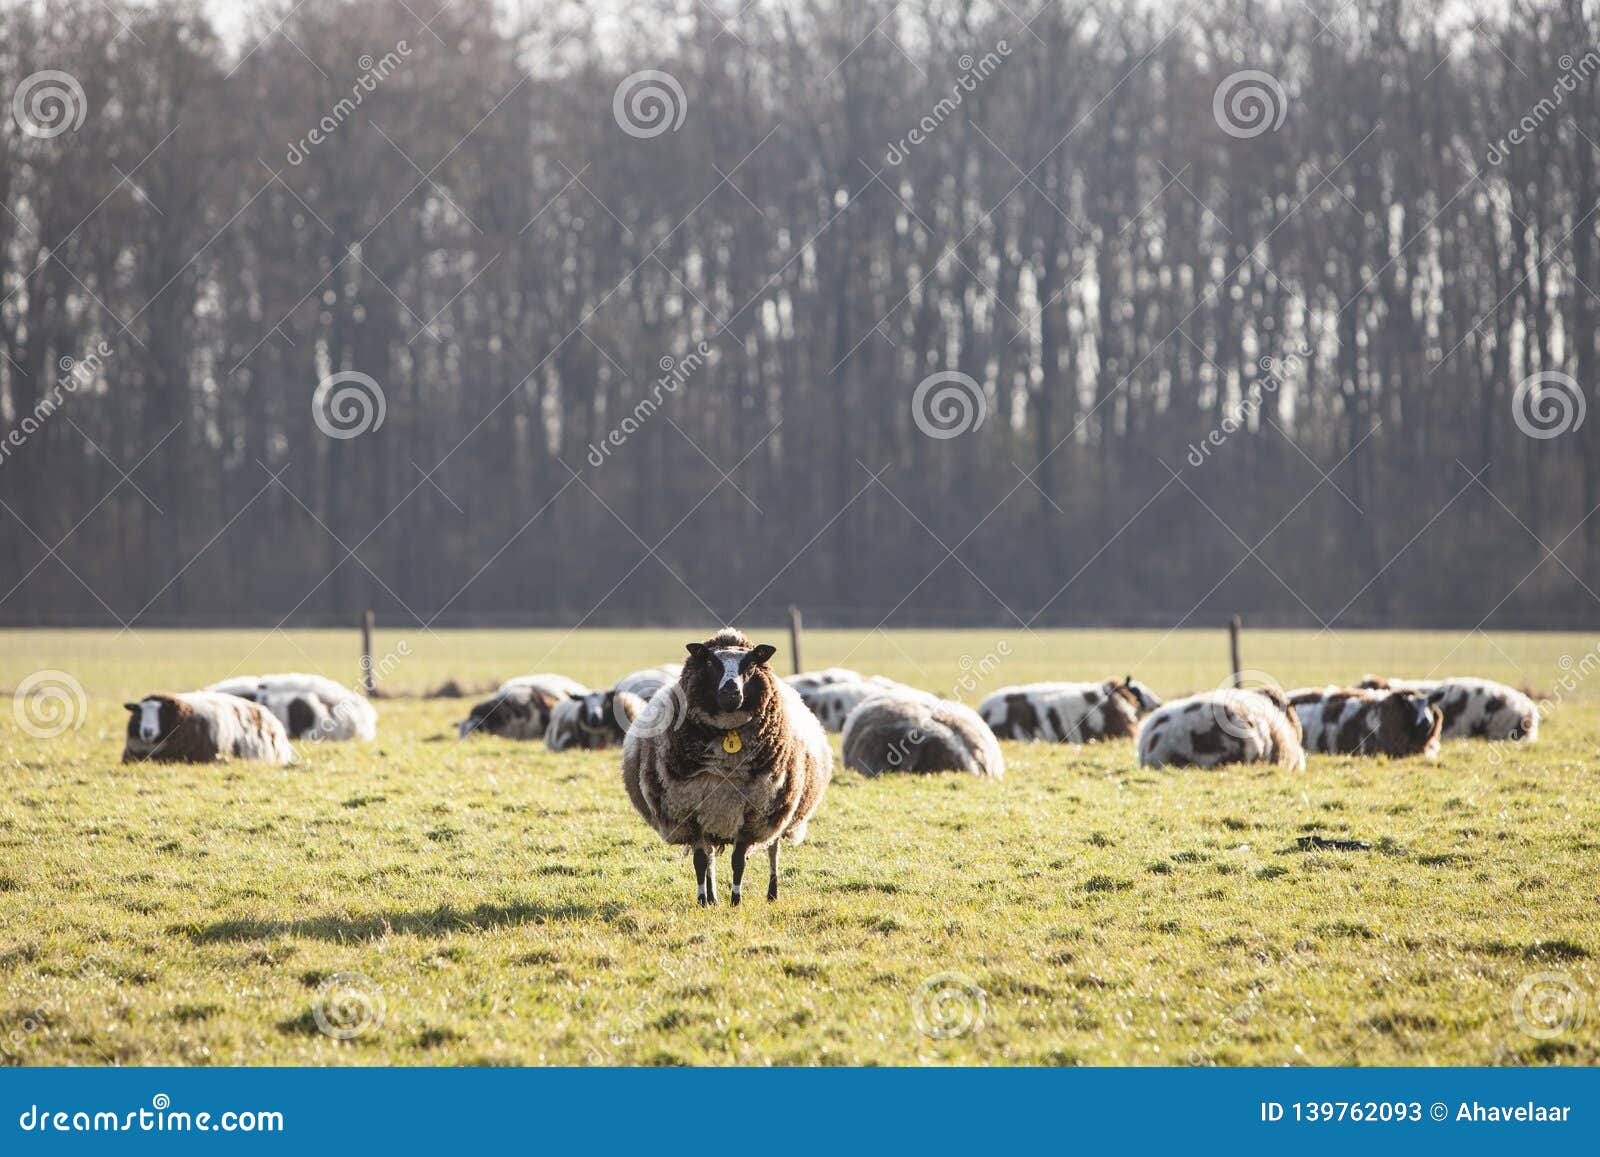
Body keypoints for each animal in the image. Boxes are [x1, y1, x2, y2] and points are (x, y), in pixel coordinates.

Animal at [622, 628, 830, 906]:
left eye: (751, 664)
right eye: (710, 663)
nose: (731, 693)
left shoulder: (752, 815)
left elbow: (738, 861)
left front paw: (736, 899)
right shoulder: (692, 813)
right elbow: (701, 861)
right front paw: (703, 900)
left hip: (777, 814)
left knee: (773, 852)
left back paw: (772, 894)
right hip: (713, 815)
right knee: (710, 857)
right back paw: (712, 897)